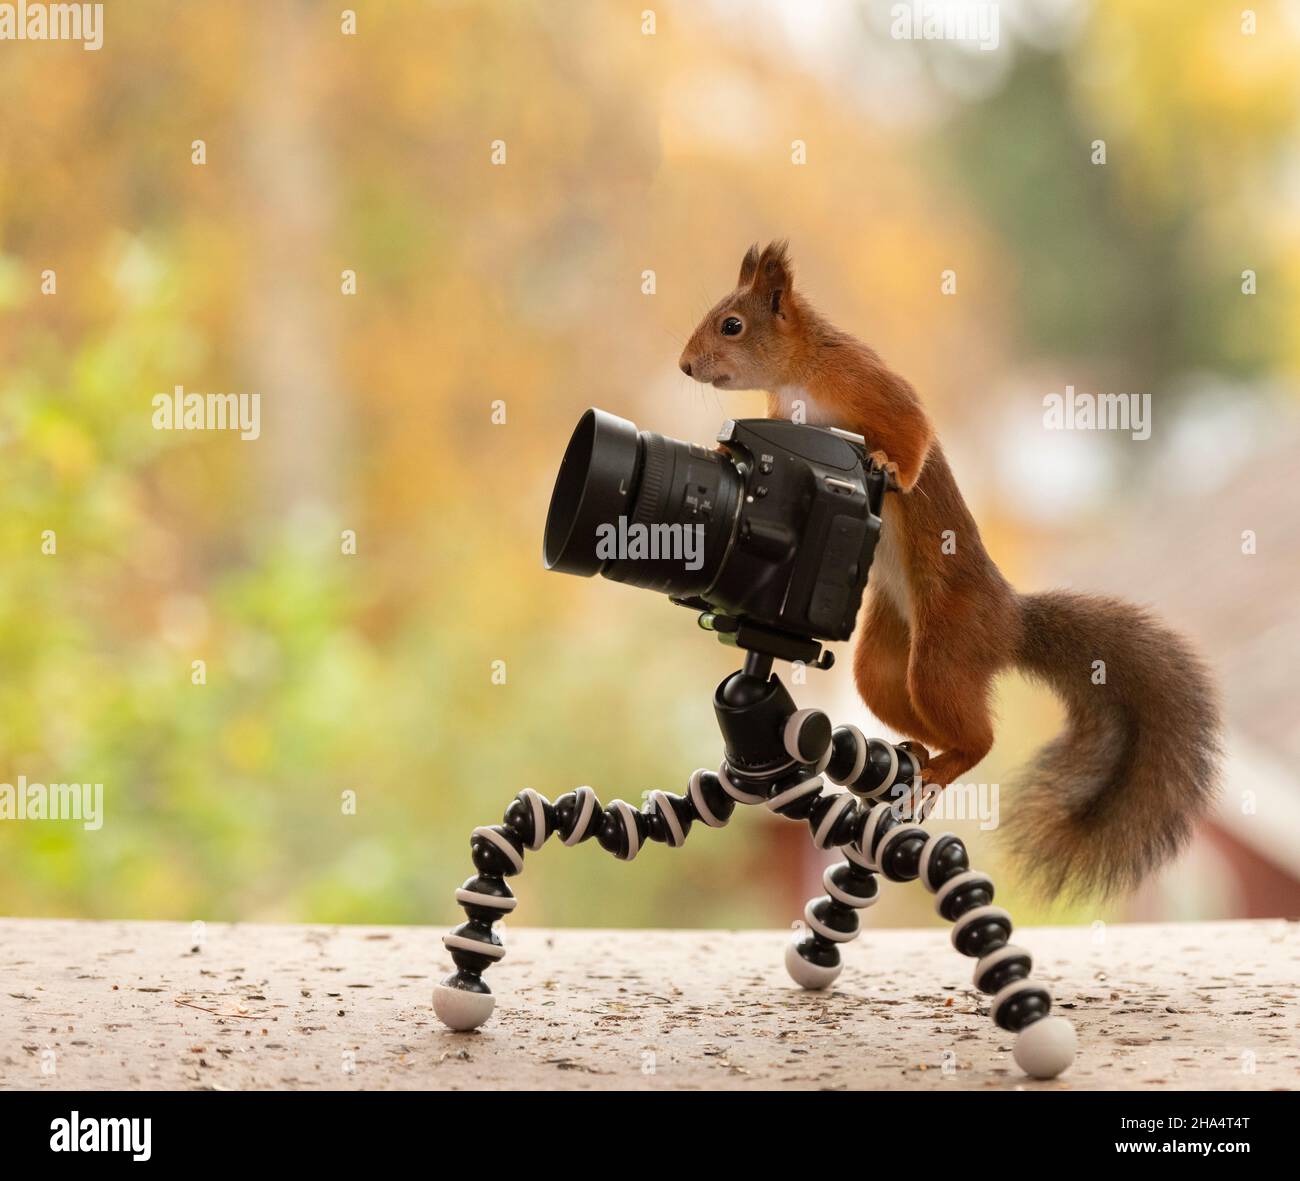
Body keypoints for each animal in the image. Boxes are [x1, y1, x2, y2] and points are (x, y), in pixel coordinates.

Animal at [678, 240, 1221, 897]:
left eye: (732, 325)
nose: (684, 366)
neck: (799, 371)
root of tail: (1009, 621)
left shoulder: (868, 382)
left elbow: (913, 431)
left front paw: (891, 467)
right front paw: (723, 449)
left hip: (945, 649)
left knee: (978, 738)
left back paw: (942, 766)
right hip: (885, 659)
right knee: (910, 703)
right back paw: (915, 753)